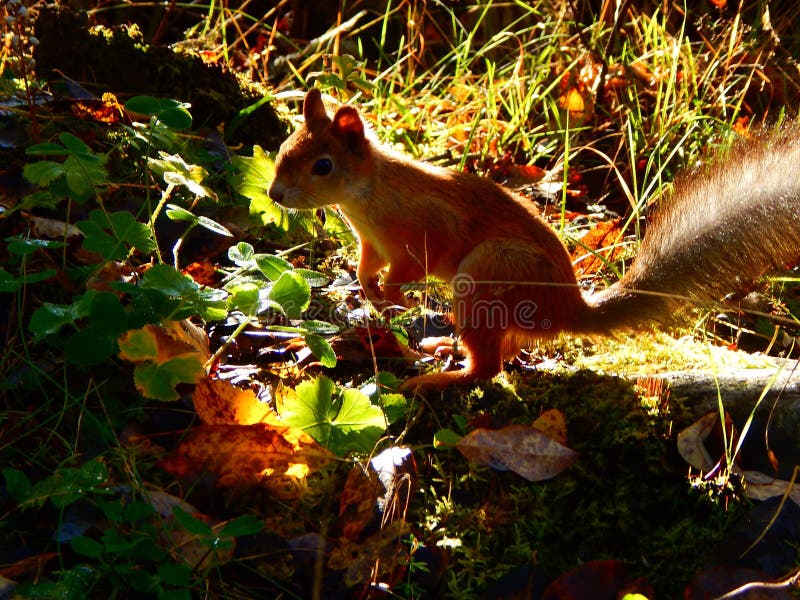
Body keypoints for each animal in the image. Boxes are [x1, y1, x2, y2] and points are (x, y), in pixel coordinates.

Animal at [268, 88, 800, 391]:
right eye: (282, 149)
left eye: (323, 166)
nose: (274, 194)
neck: (367, 195)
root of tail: (569, 309)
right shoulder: (372, 243)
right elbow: (366, 266)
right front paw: (369, 290)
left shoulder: (428, 228)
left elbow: (413, 265)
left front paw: (394, 294)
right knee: (505, 351)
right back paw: (443, 349)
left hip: (487, 274)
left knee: (489, 367)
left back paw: (438, 378)